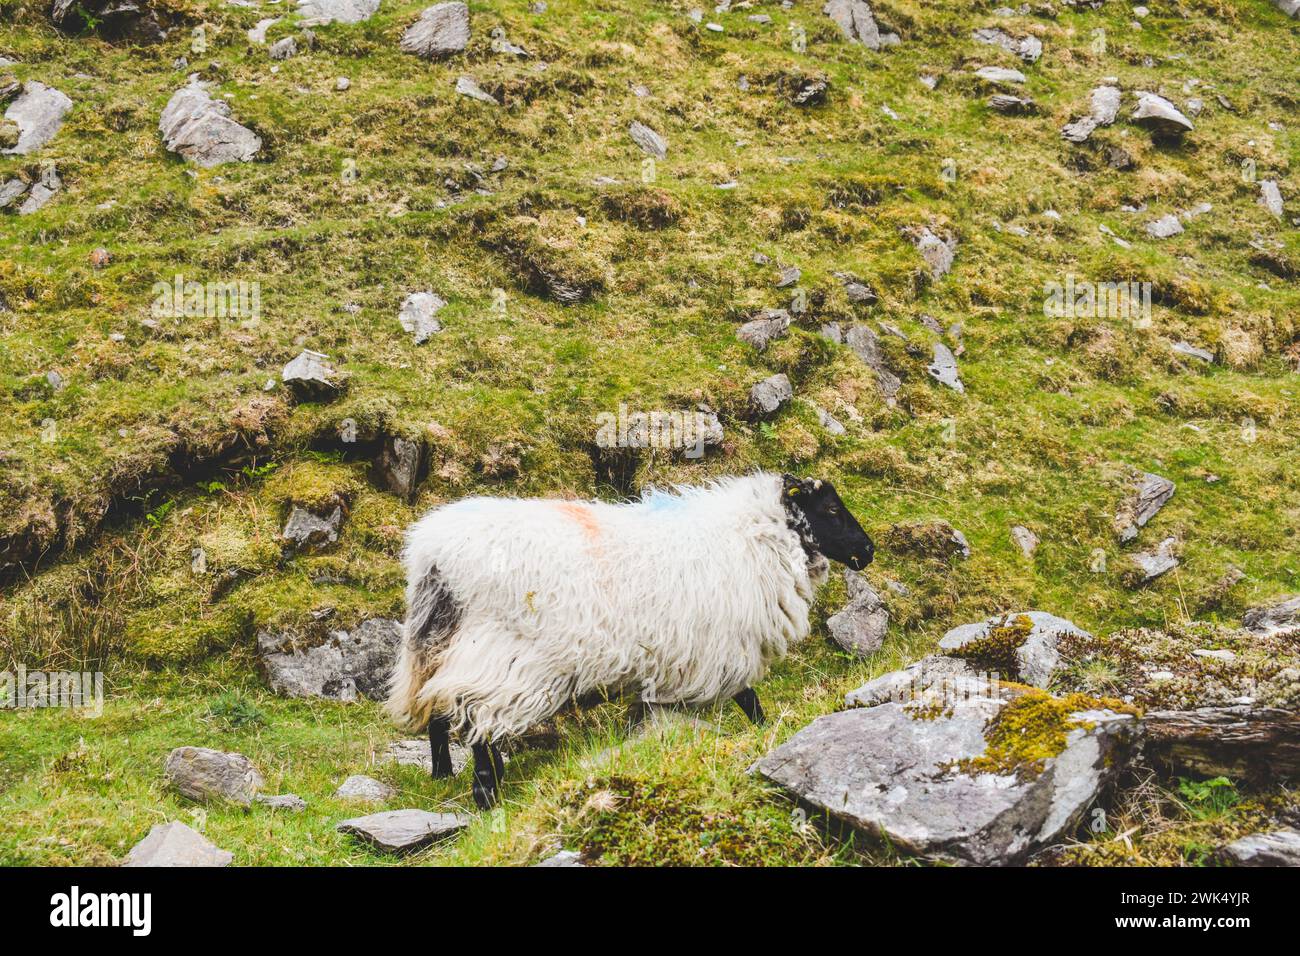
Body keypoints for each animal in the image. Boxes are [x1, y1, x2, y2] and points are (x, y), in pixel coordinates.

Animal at [386, 471, 874, 808]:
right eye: (831, 509)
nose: (867, 551)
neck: (758, 537)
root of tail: (432, 555)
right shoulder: (722, 644)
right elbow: (748, 696)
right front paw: (765, 731)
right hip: (503, 654)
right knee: (474, 714)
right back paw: (485, 790)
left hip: (438, 646)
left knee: (439, 711)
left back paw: (444, 774)